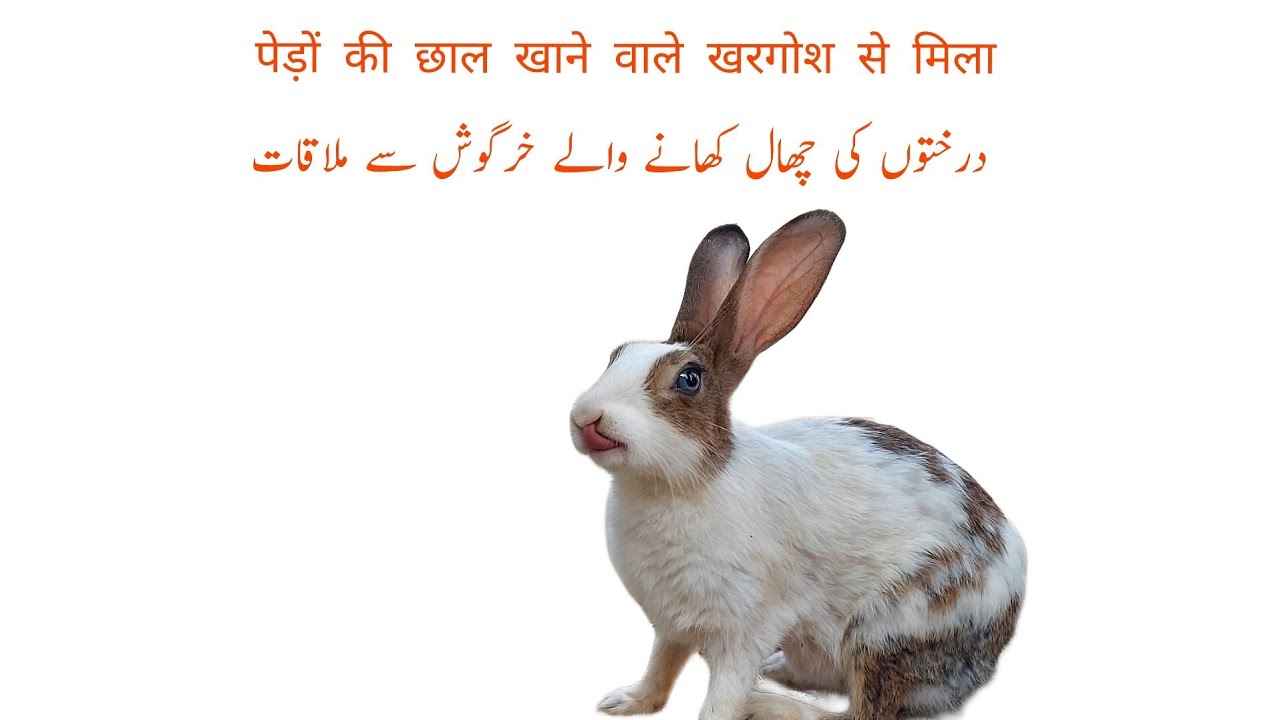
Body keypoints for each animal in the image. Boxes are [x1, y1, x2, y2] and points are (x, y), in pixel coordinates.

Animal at [569, 210, 1026, 720]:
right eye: (617, 354)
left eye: (688, 379)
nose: (587, 418)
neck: (683, 482)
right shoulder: (670, 623)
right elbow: (660, 665)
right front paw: (625, 701)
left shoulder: (744, 629)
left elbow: (721, 695)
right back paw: (778, 673)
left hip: (884, 631)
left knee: (861, 712)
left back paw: (771, 704)